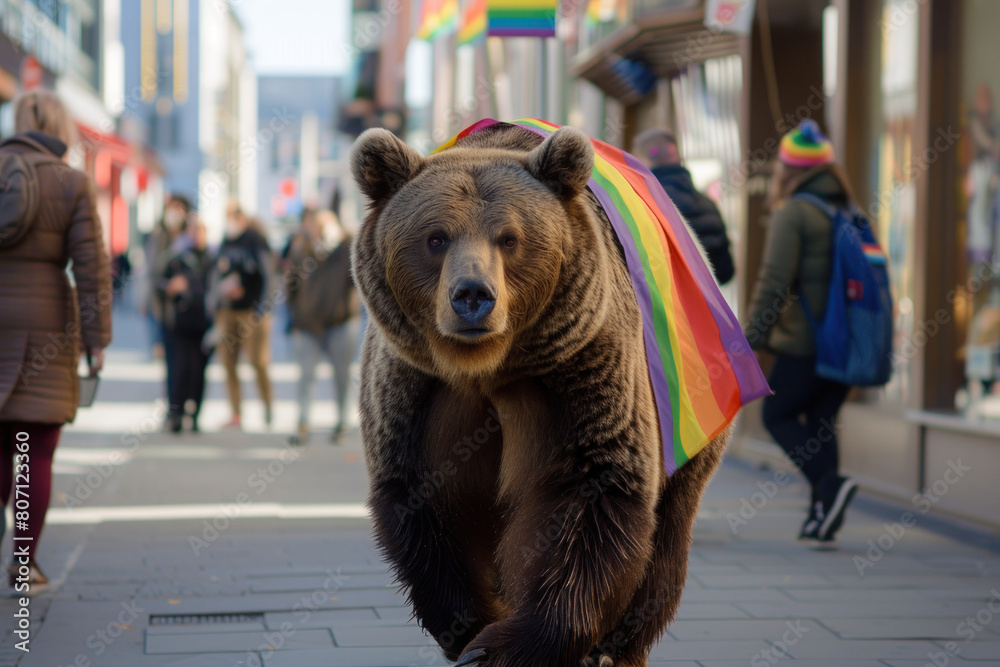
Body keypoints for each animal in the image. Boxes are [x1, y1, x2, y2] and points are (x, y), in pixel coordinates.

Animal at [350, 121, 735, 667]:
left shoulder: (580, 374)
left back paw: (618, 649)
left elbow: (588, 500)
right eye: (435, 237)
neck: (487, 368)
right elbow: (430, 507)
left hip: (689, 420)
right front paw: (471, 628)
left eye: (509, 238)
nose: (472, 295)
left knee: (666, 540)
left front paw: (506, 646)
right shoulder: (416, 393)